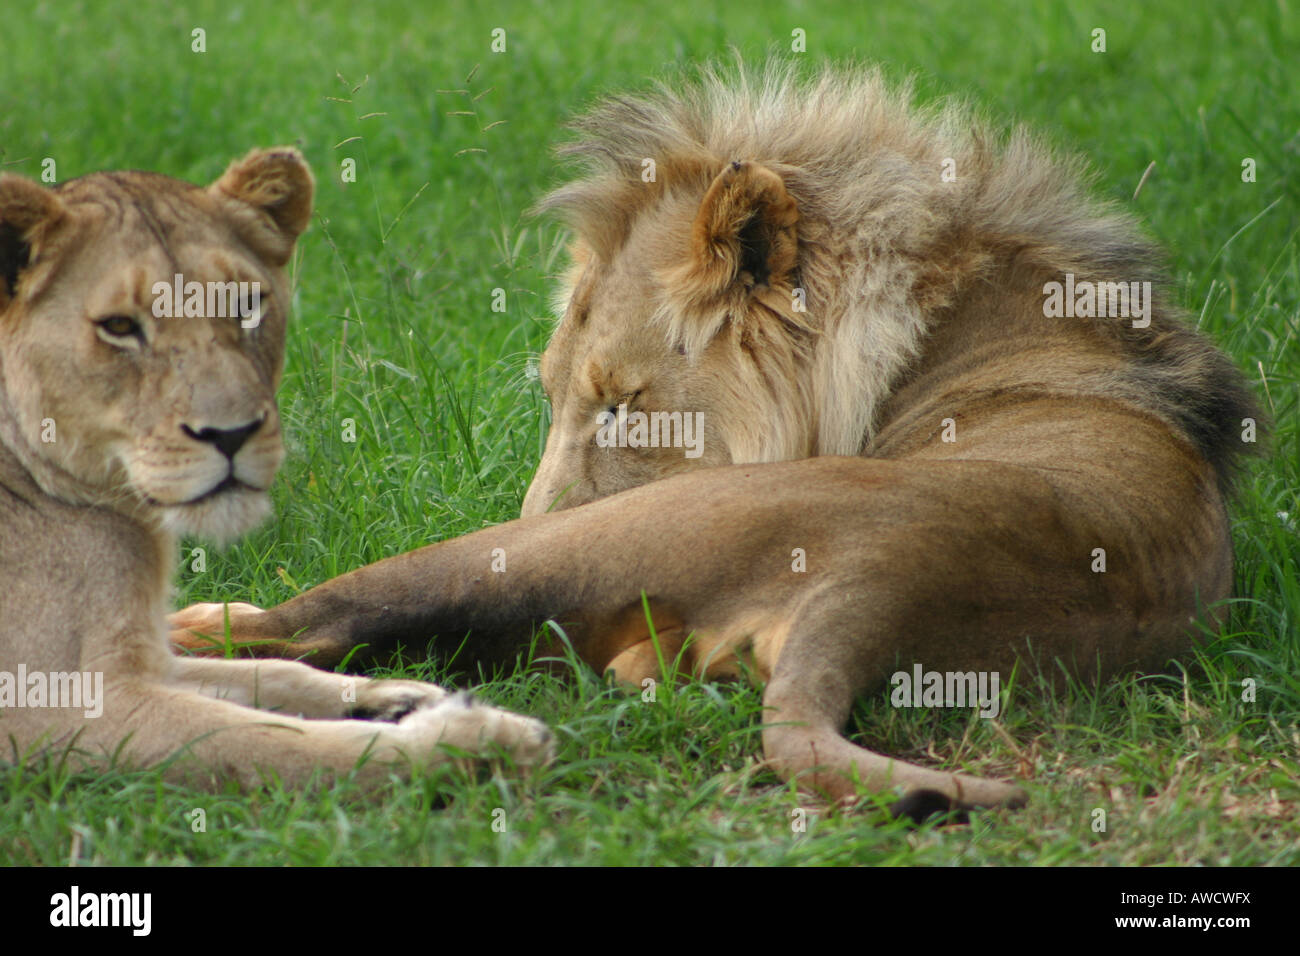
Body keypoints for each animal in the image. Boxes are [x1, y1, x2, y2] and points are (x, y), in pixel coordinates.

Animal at [0, 148, 553, 790]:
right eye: (118, 327)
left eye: (246, 306)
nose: (232, 434)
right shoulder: (60, 706)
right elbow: (277, 743)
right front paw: (483, 741)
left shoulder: (149, 660)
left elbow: (274, 673)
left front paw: (400, 695)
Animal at [171, 65, 1259, 815]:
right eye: (554, 397)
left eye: (620, 409)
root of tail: (881, 579)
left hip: (540, 549)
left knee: (302, 625)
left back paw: (192, 618)